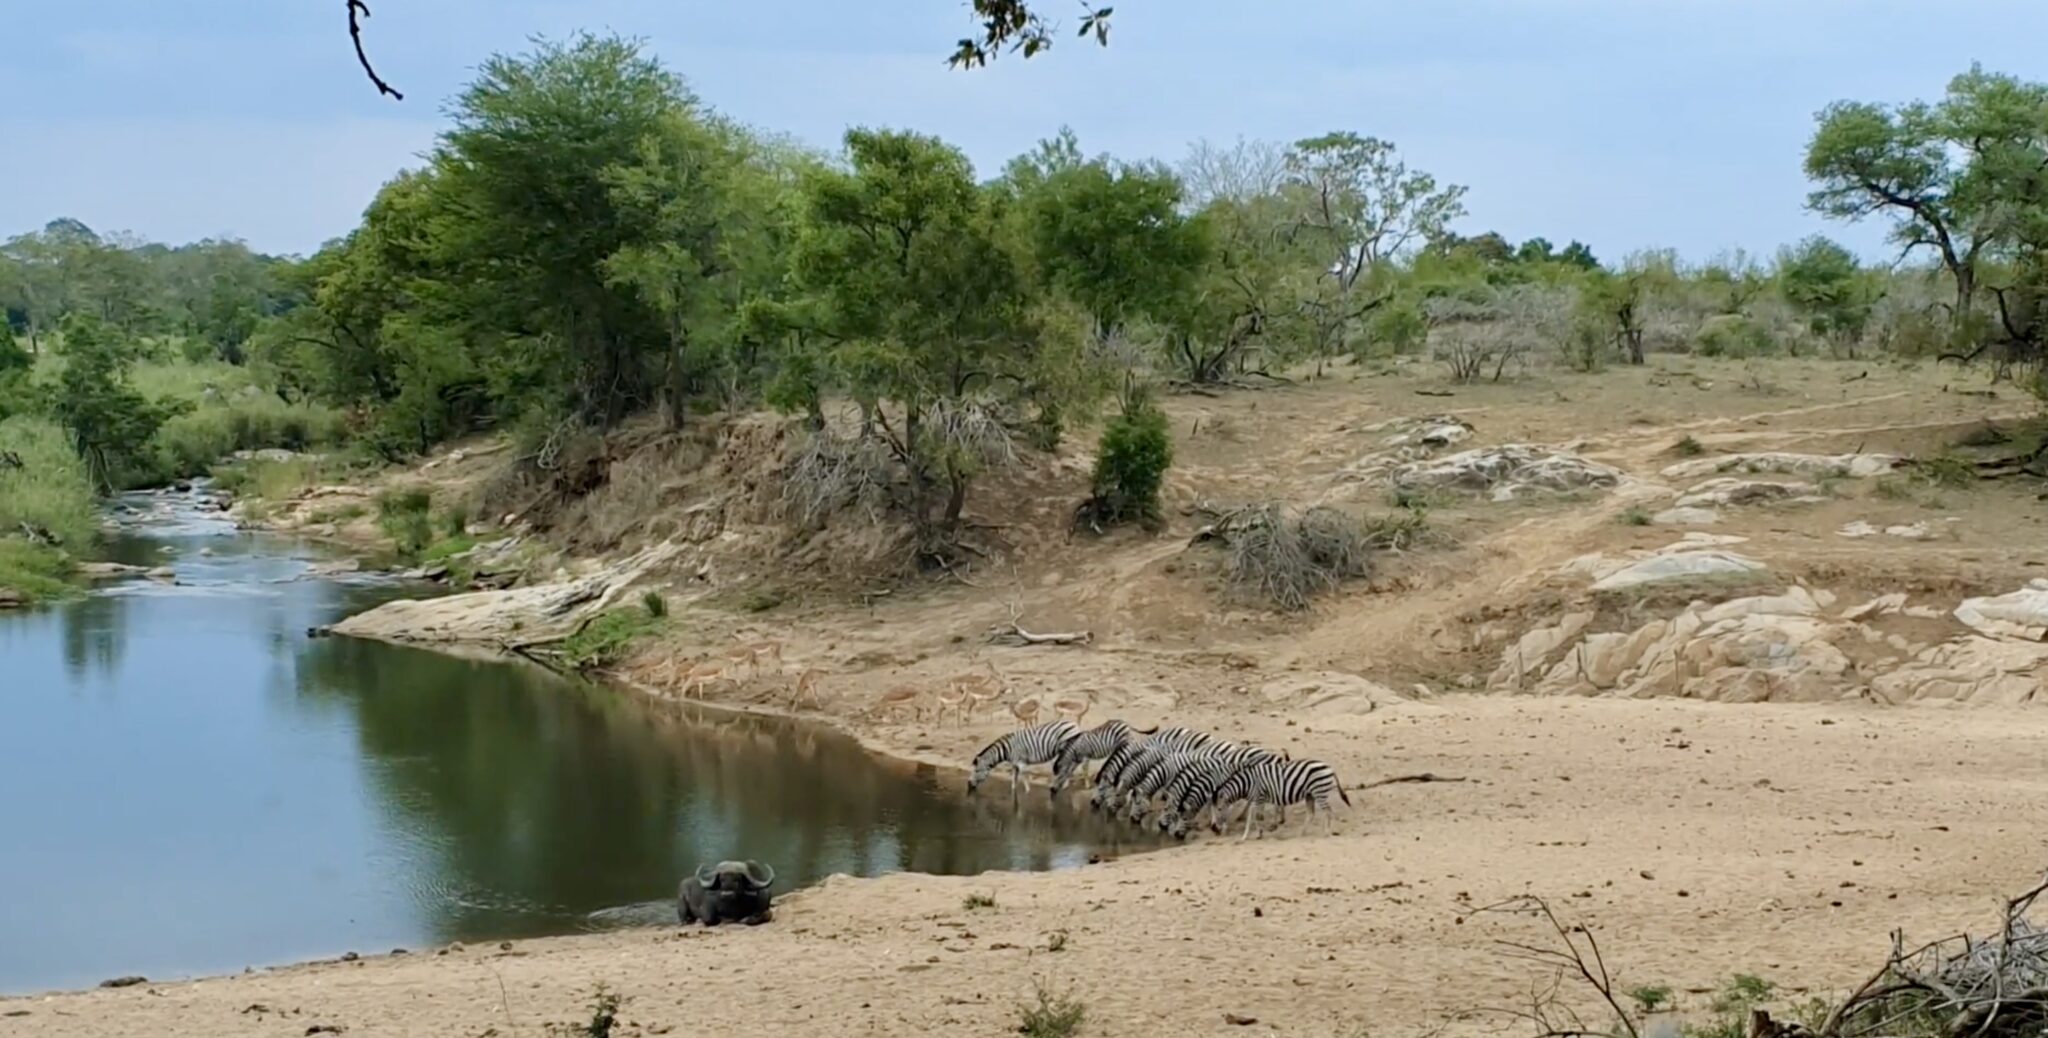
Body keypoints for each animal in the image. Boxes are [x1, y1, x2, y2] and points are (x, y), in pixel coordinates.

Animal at [1155, 745, 1285, 838]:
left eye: (1165, 809)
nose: (1160, 825)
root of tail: (1269, 753)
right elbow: (1212, 804)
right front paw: (1213, 823)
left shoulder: (1219, 789)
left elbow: (1215, 805)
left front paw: (1218, 825)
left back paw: (1274, 822)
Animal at [1208, 758, 1350, 841]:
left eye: (1219, 808)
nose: (1216, 829)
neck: (1247, 783)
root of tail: (1330, 767)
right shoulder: (1256, 800)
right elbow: (1255, 817)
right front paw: (1259, 833)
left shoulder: (1258, 798)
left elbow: (1251, 818)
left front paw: (1244, 837)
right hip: (1310, 795)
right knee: (1311, 814)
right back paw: (1301, 833)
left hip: (1319, 792)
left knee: (1328, 811)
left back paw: (1327, 832)